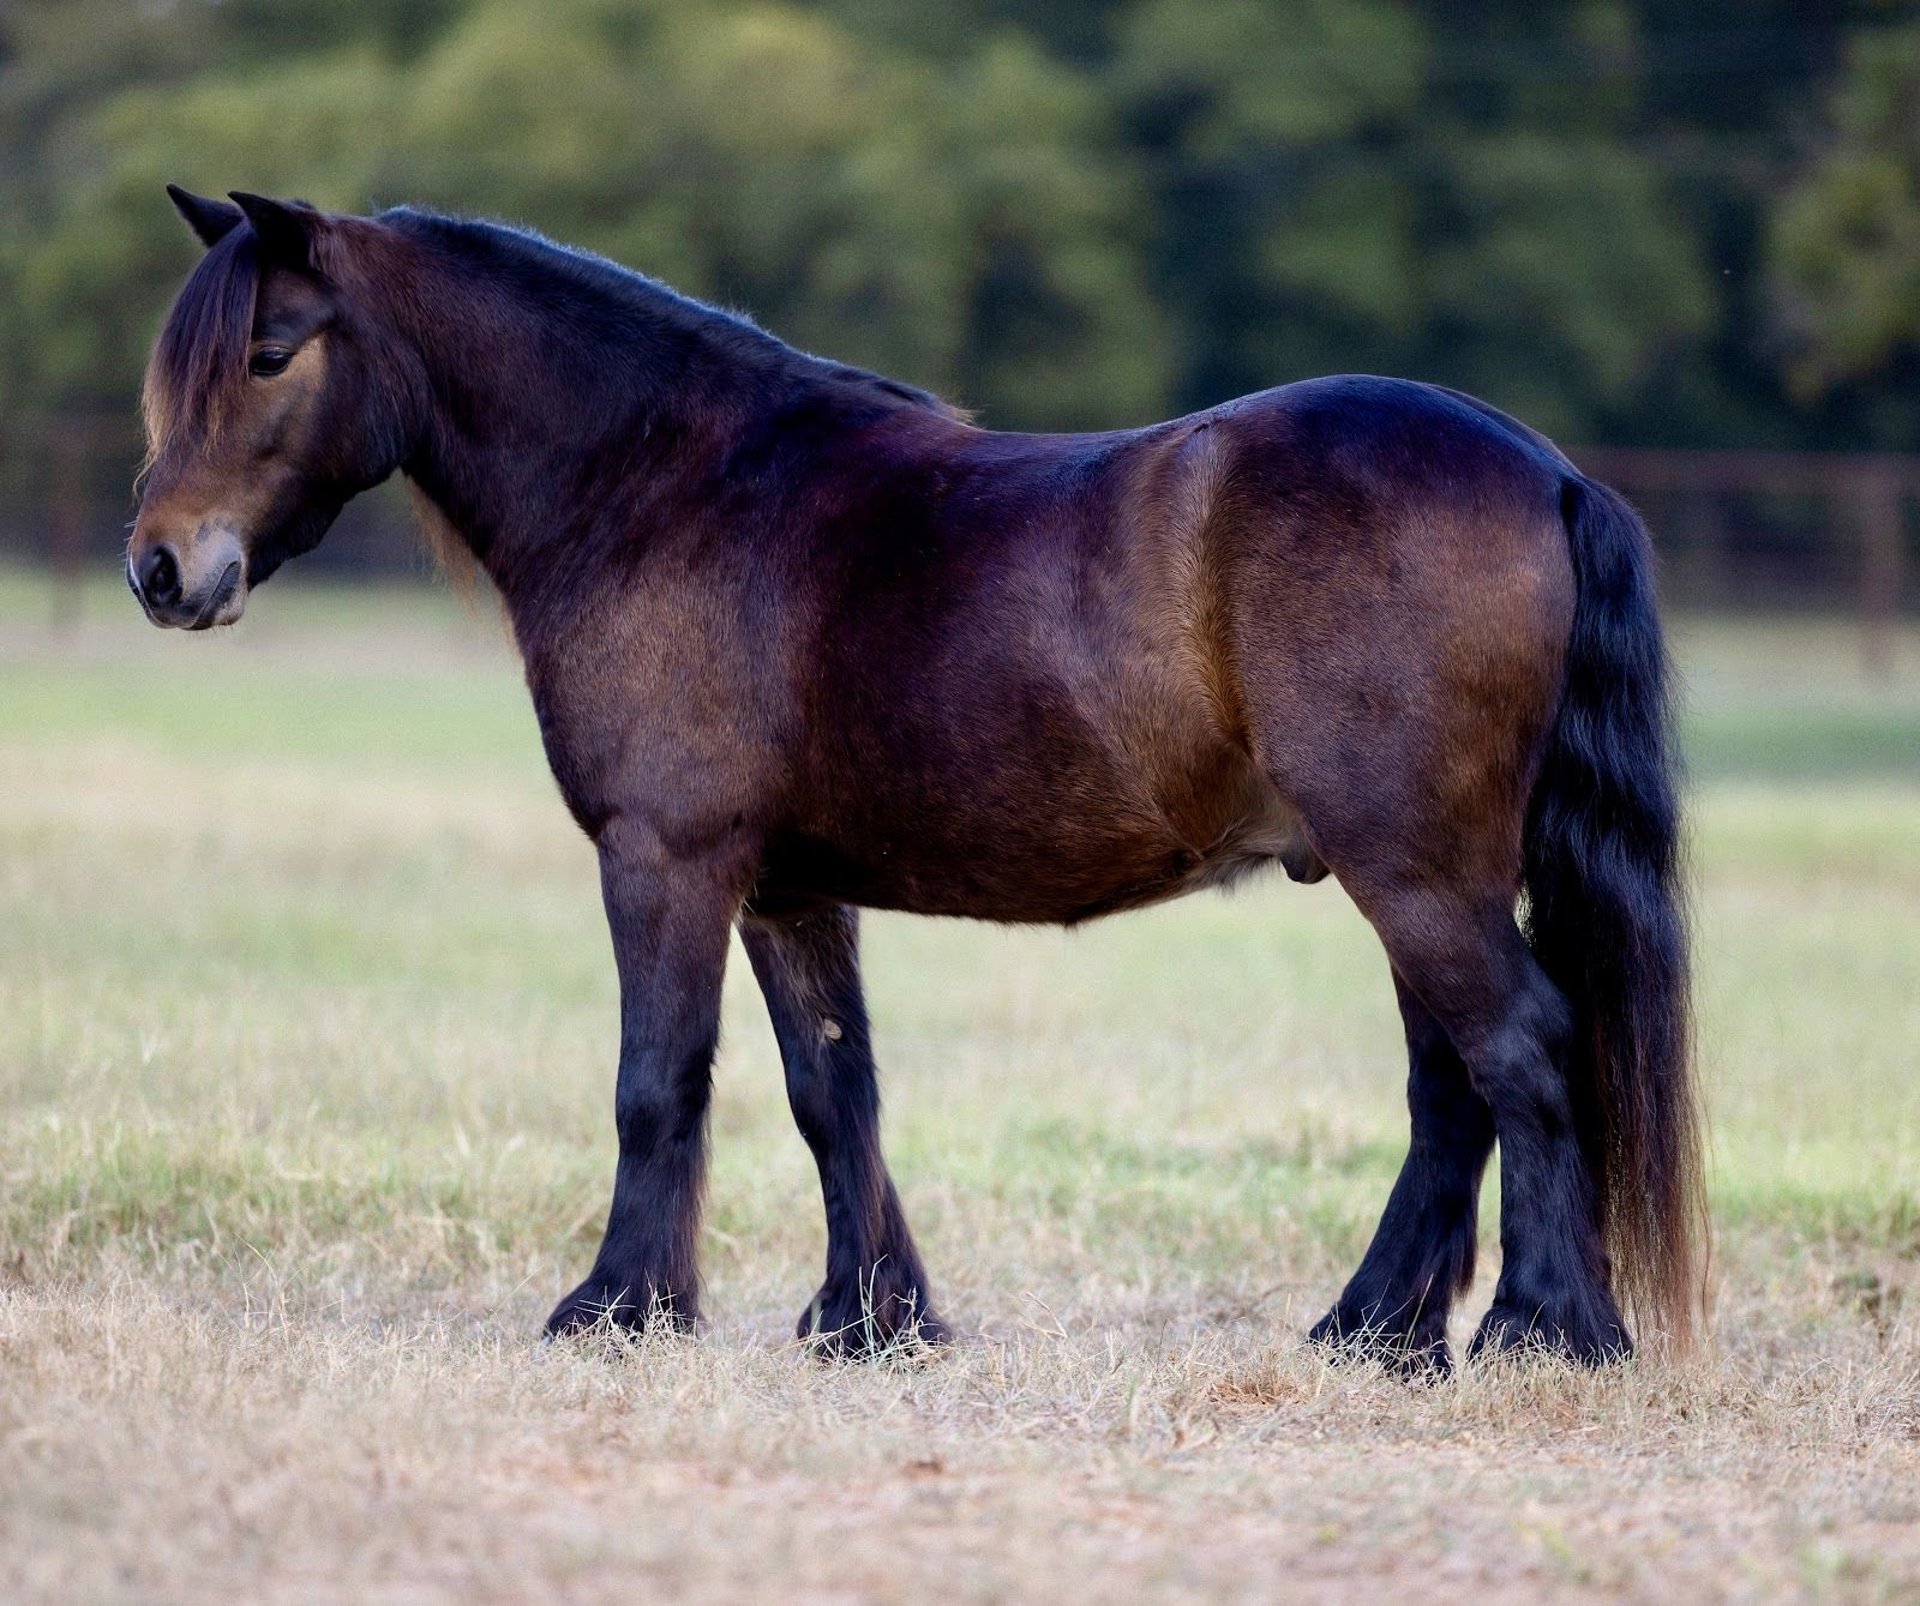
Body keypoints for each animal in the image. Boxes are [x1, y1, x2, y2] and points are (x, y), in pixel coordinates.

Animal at [128, 186, 1704, 1370]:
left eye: (269, 353)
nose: (160, 568)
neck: (666, 489)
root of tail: (1549, 471)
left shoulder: (665, 858)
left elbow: (658, 1080)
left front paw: (617, 1307)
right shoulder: (784, 892)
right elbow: (835, 1088)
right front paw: (869, 1320)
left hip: (1416, 872)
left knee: (1521, 1050)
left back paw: (1543, 1330)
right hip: (1413, 875)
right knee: (1455, 1090)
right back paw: (1376, 1334)